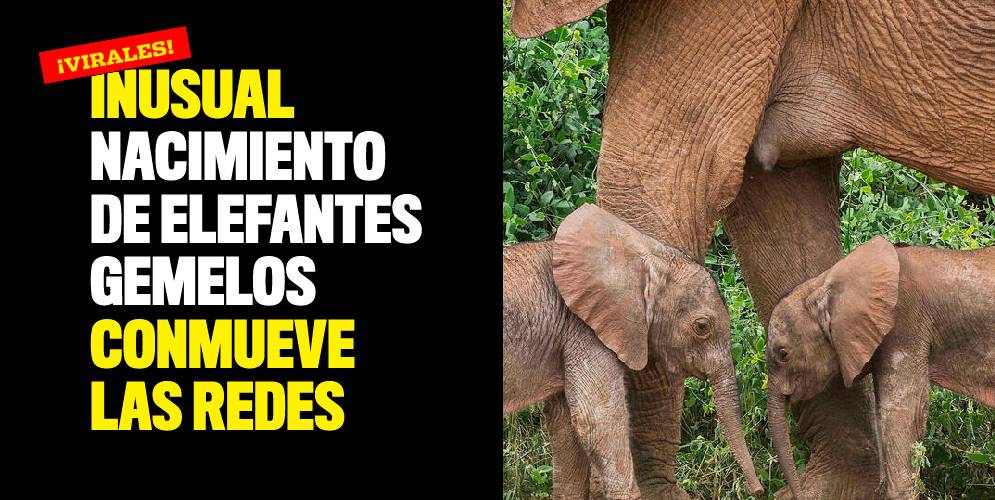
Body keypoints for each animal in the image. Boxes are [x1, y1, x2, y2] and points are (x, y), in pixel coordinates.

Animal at [503, 204, 764, 499]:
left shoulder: (566, 336)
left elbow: (565, 429)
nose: (759, 490)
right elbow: (598, 422)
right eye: (702, 327)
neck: (641, 253)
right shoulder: (585, 331)